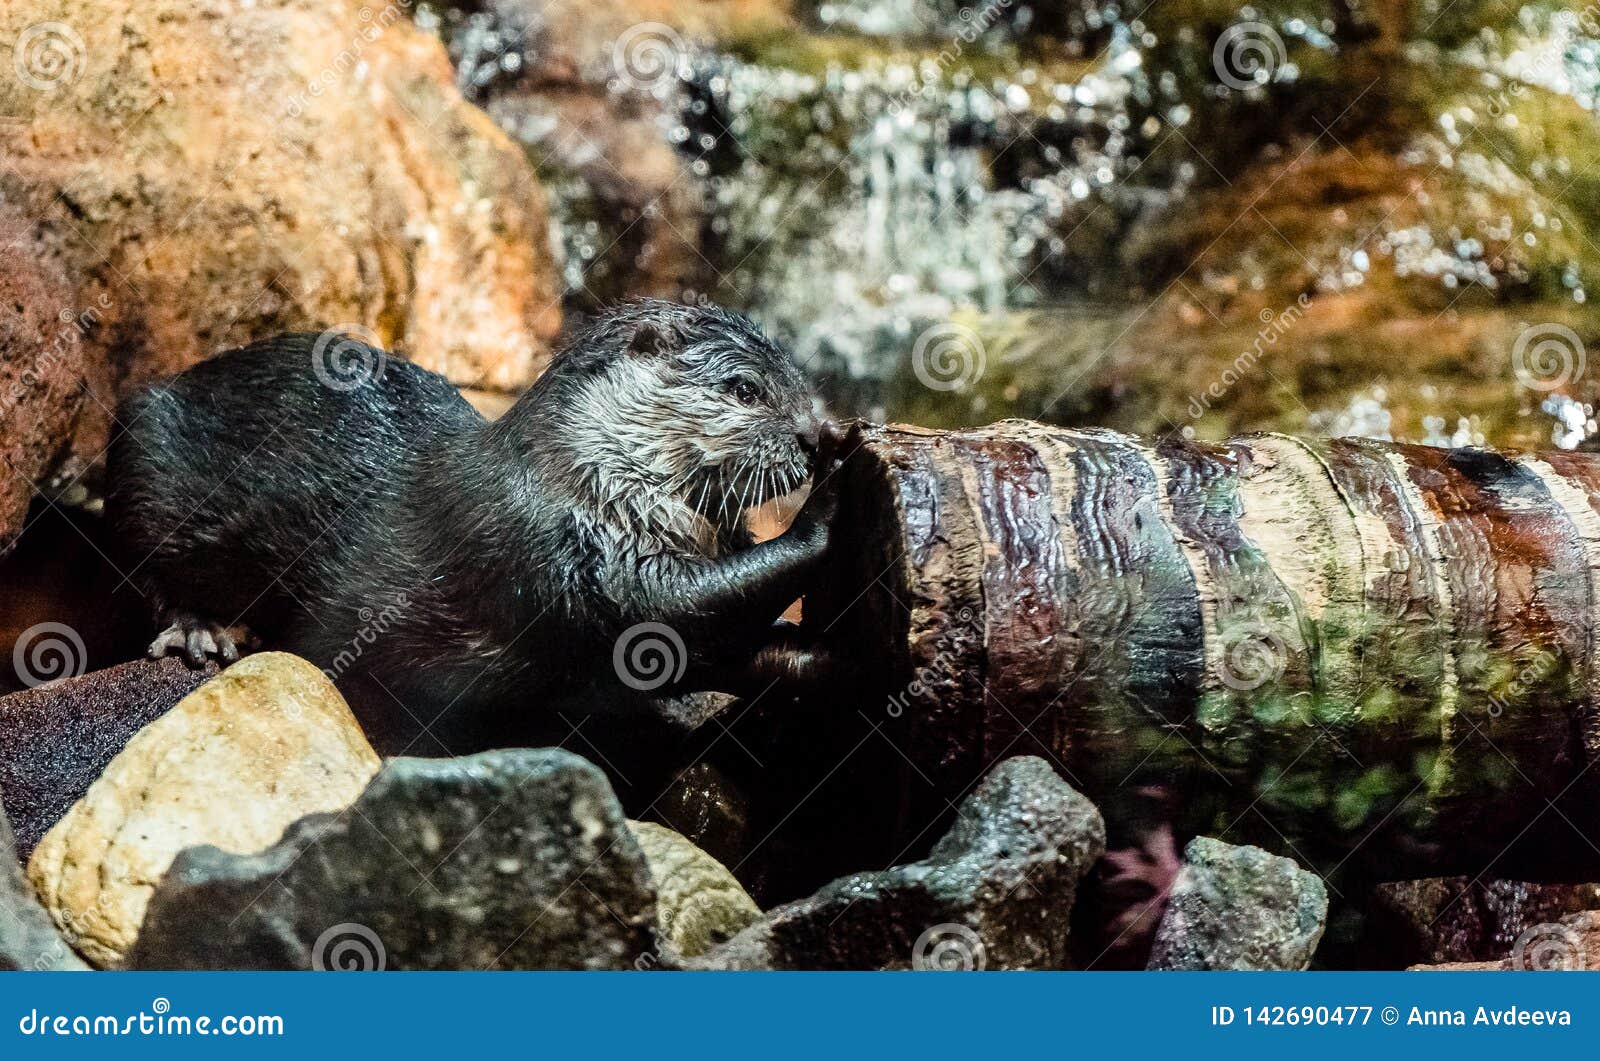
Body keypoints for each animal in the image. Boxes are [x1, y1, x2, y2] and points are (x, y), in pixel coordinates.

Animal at [106, 300, 842, 752]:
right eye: (744, 390)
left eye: (801, 381)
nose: (814, 433)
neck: (587, 474)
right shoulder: (542, 543)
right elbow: (668, 609)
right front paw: (827, 504)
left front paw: (809, 660)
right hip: (147, 442)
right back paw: (203, 630)